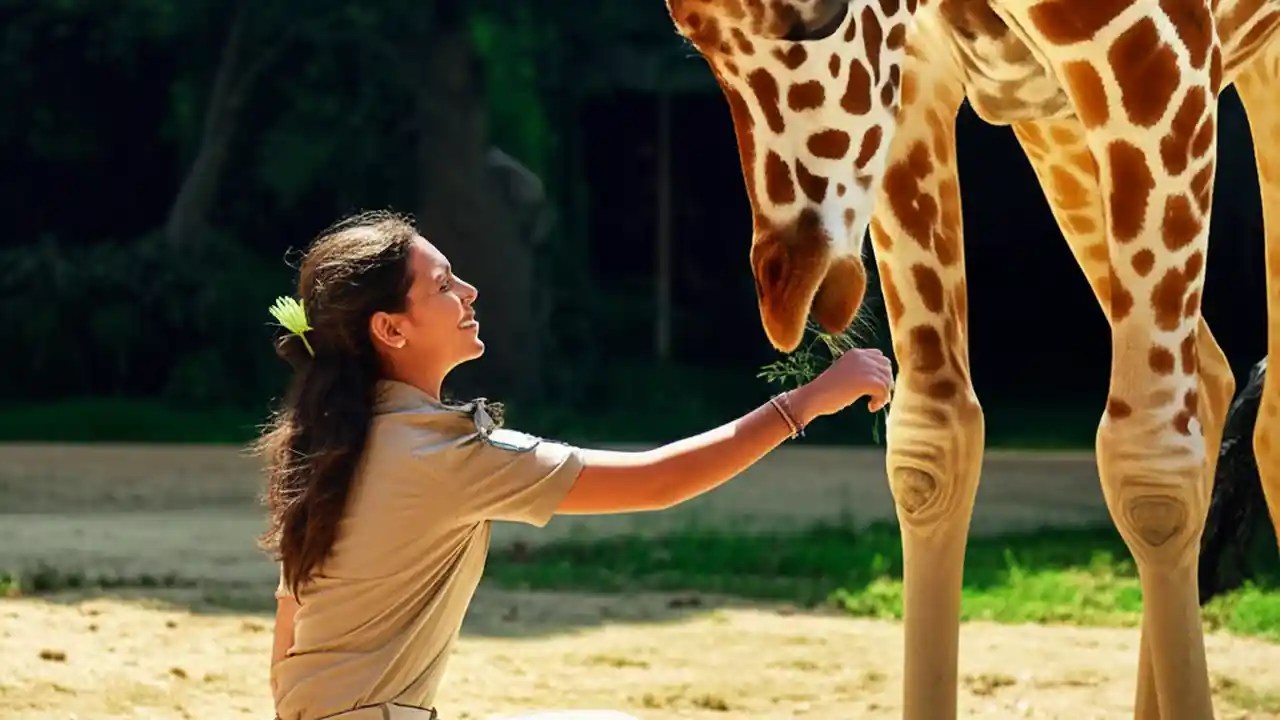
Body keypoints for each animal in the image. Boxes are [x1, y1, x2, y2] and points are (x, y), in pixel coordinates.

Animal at [663, 0, 1280, 717]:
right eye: (694, 41)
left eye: (820, 19)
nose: (787, 294)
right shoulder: (918, 70)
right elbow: (930, 445)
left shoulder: (1165, 62)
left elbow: (1149, 471)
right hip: (1056, 120)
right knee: (1215, 378)